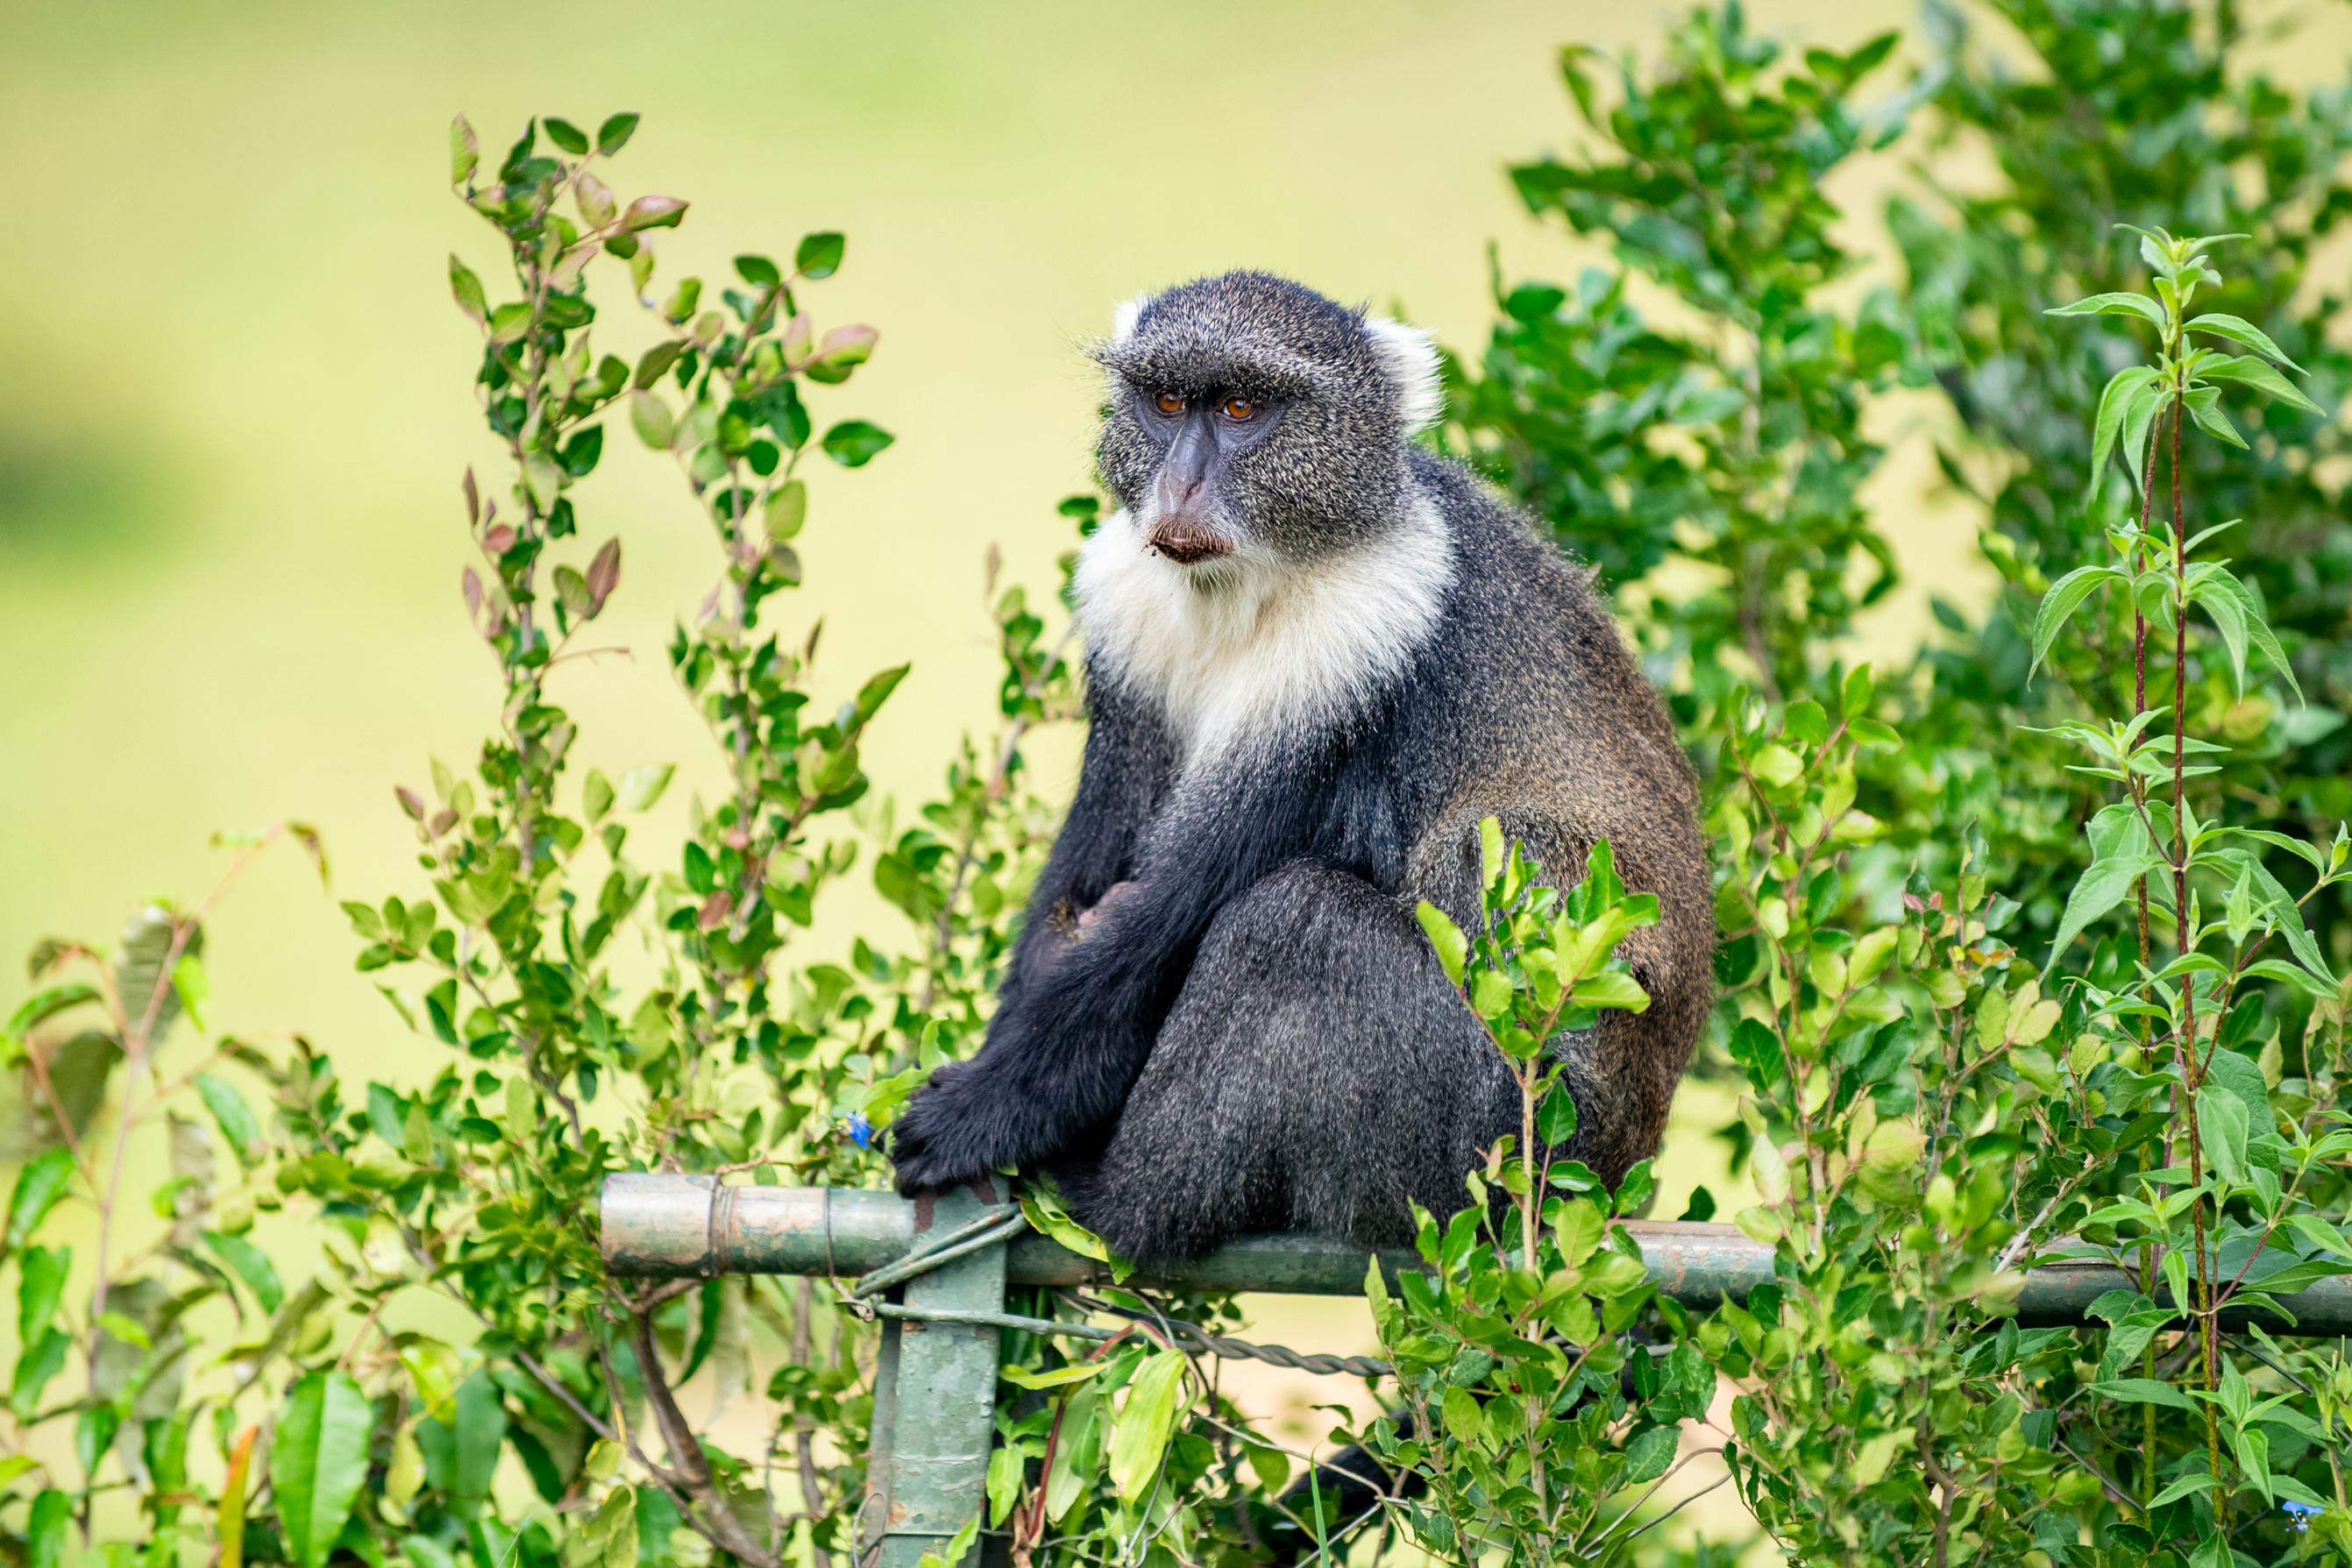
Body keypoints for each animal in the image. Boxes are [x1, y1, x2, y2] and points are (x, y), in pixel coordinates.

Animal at [889, 271, 1711, 1268]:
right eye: (1169, 403)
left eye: (1244, 408)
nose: (1180, 485)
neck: (1246, 586)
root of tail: (1617, 1169)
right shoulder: (1124, 626)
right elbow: (1086, 873)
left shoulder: (1357, 650)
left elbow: (1156, 930)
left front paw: (983, 1112)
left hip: (1492, 1149)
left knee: (1295, 925)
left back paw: (1115, 1201)